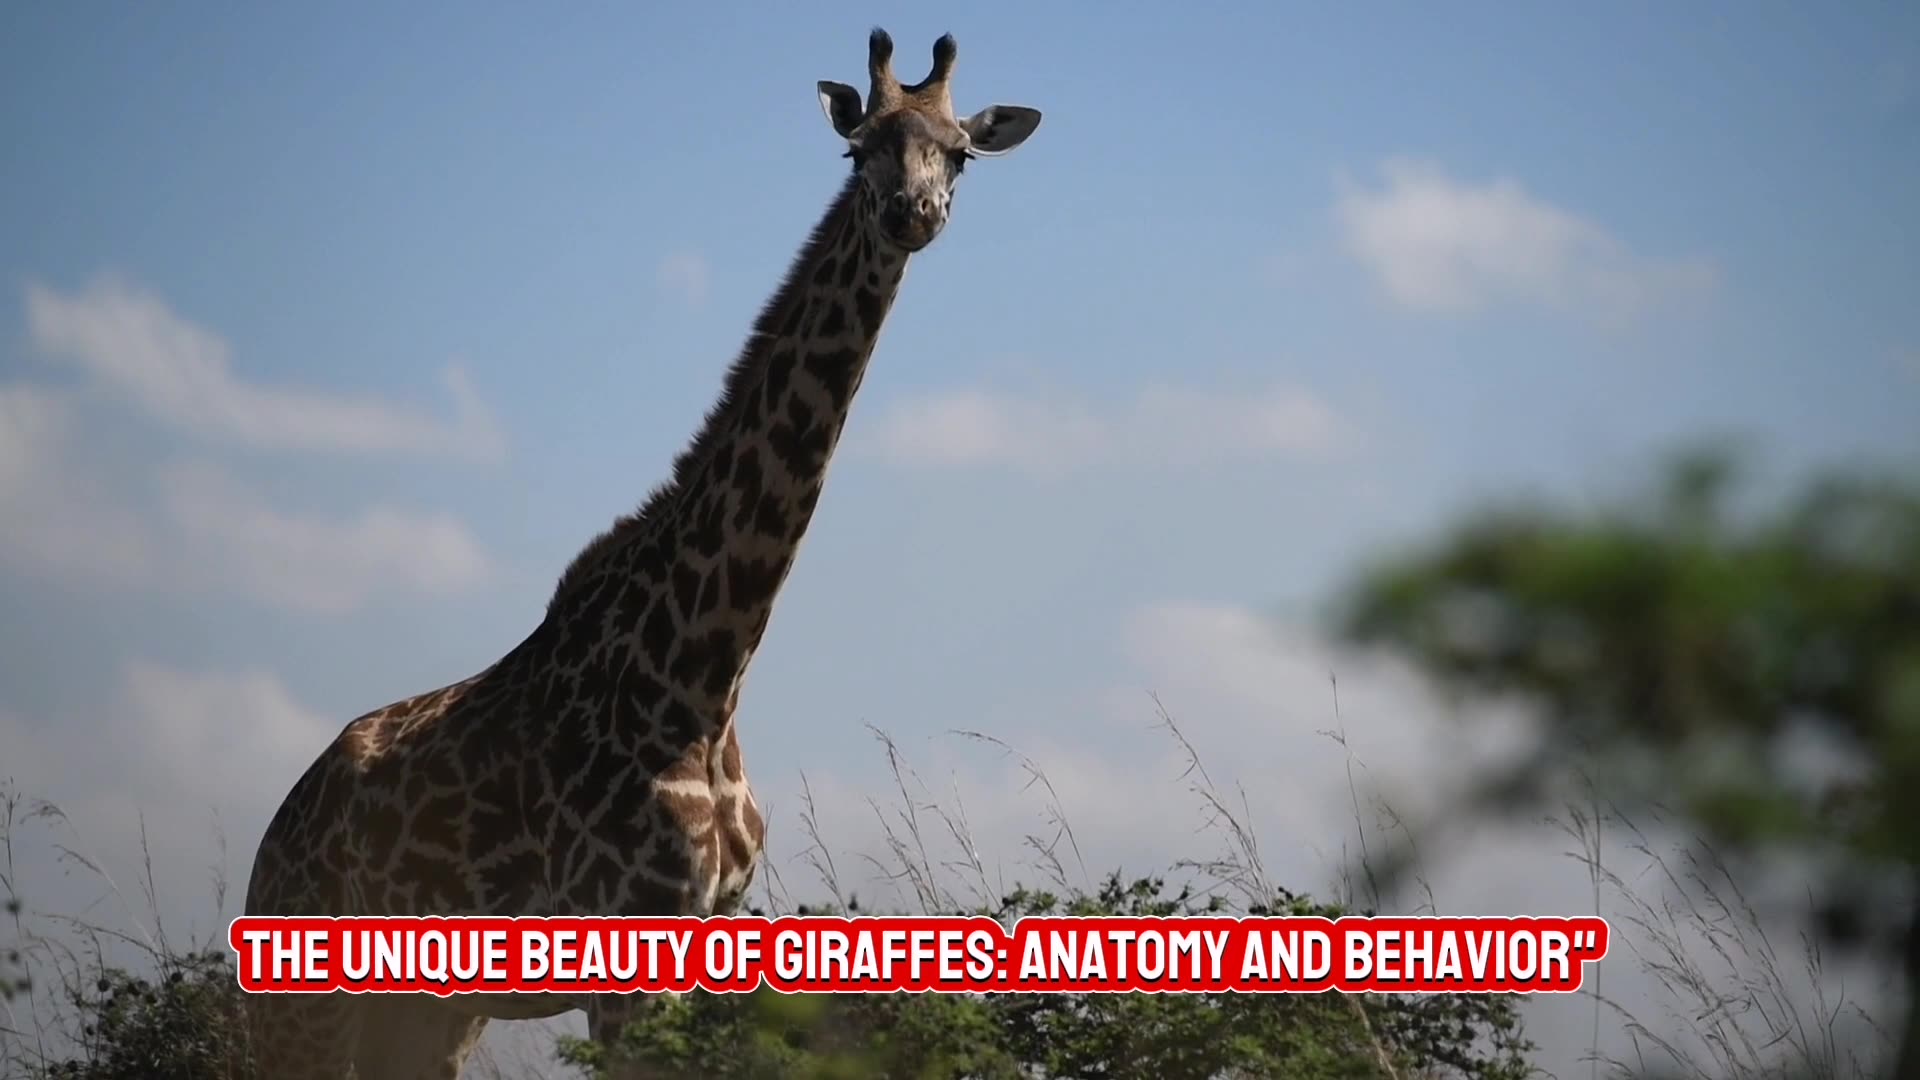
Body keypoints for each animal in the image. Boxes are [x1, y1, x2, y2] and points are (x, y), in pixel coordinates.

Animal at [241, 27, 1040, 1080]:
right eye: (858, 148)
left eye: (959, 154)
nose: (912, 213)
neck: (705, 673)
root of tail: (277, 829)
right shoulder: (623, 950)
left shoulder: (703, 946)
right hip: (306, 1001)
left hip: (427, 1014)